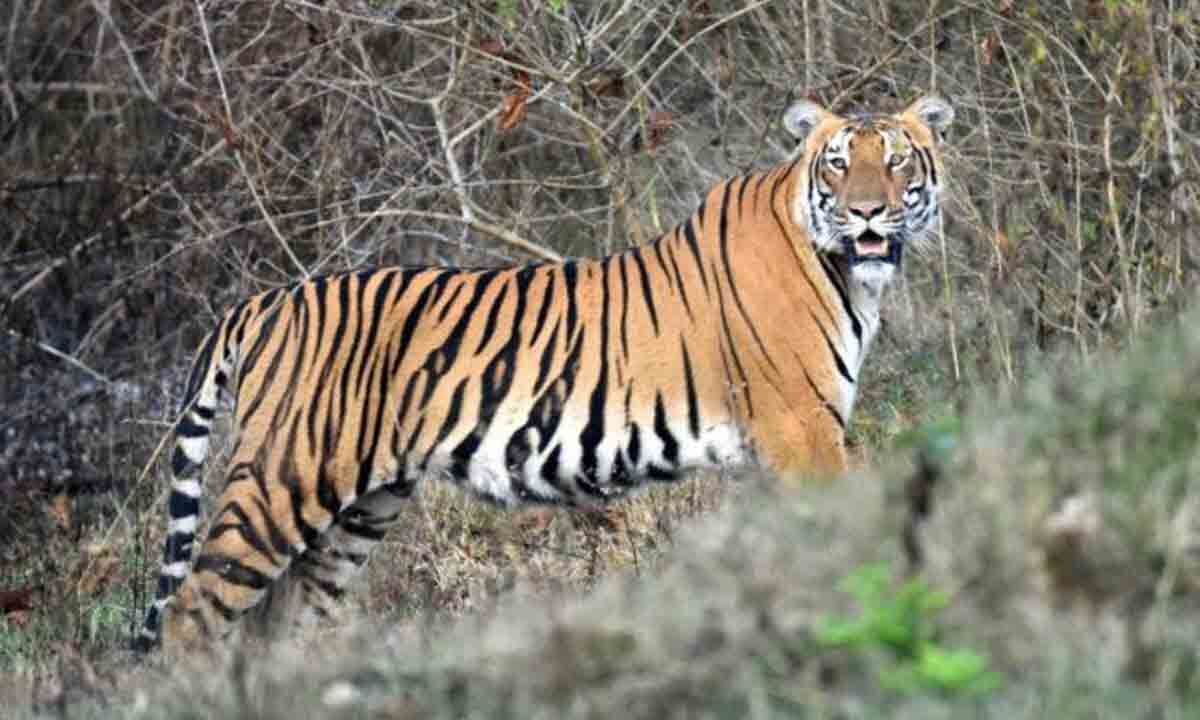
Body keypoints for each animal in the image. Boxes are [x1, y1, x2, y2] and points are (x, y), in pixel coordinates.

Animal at [134, 94, 953, 652]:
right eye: (839, 162)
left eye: (897, 159)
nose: (868, 212)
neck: (847, 272)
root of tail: (262, 300)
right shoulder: (800, 430)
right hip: (282, 481)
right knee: (194, 611)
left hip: (359, 511)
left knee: (284, 618)